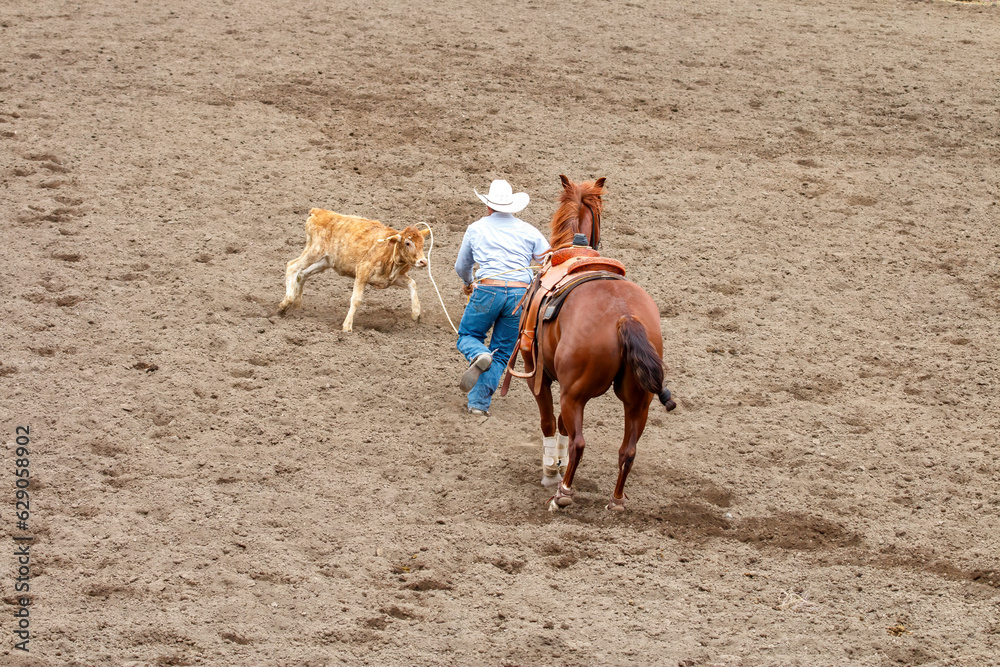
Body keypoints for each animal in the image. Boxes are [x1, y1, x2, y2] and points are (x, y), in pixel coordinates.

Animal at [277, 208, 430, 332]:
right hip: (314, 250)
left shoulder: (391, 279)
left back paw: (297, 305)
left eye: (422, 244)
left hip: (325, 261)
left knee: (302, 274)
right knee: (292, 266)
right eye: (408, 243)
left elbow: (412, 284)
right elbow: (356, 299)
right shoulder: (362, 272)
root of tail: (318, 212)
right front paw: (347, 326)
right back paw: (285, 305)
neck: (390, 252)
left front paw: (416, 314)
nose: (423, 261)